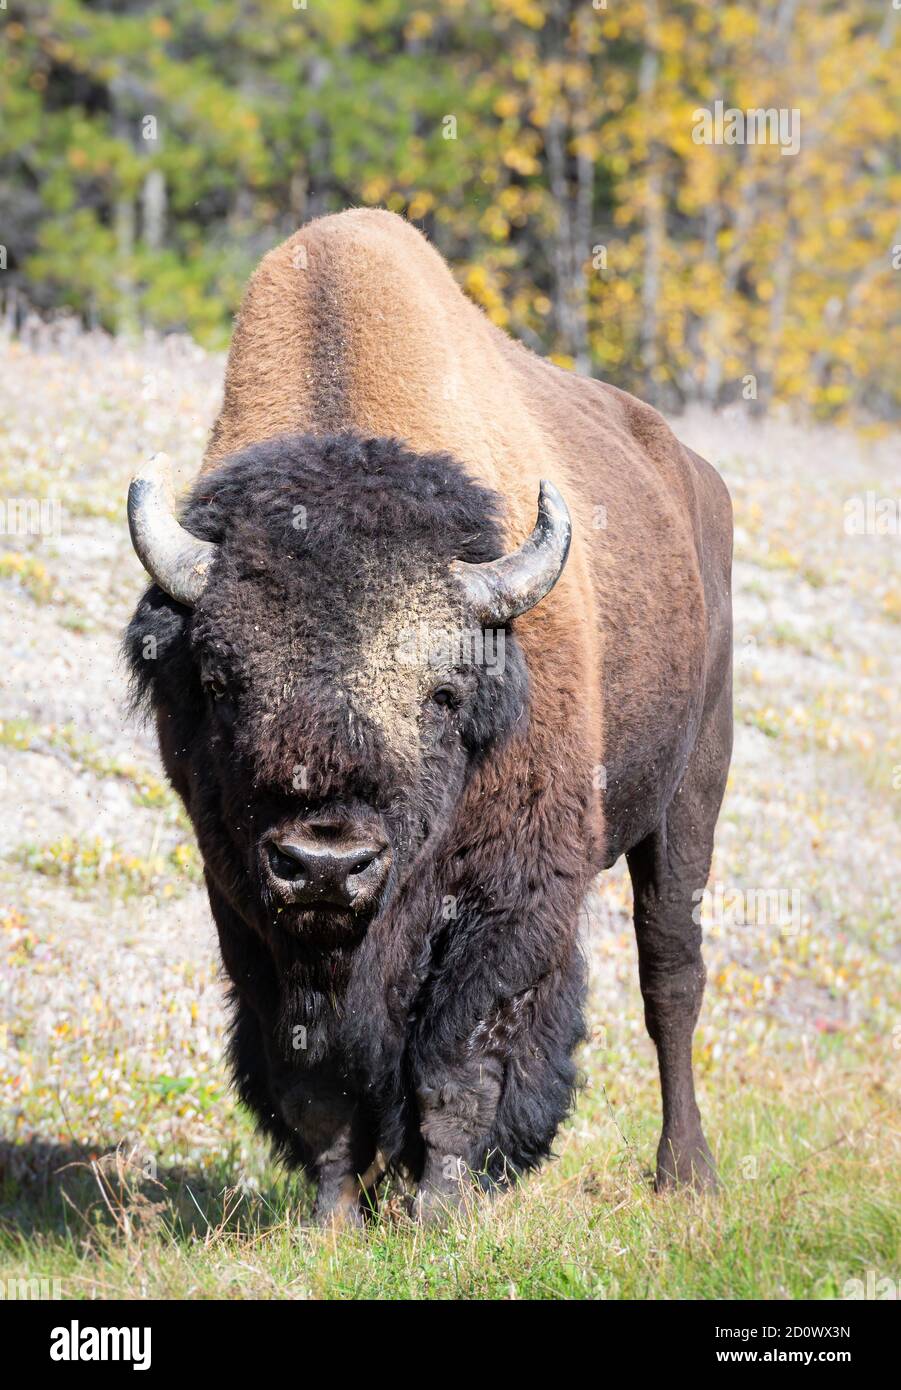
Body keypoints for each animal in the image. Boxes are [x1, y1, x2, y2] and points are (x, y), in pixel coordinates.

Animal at [125, 209, 732, 1224]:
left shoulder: (510, 892)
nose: (325, 863)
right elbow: (316, 1081)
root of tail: (691, 478)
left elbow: (459, 1059)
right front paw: (333, 1220)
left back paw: (685, 1176)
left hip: (691, 791)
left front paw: (439, 1214)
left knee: (670, 976)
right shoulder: (246, 903)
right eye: (218, 680)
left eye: (445, 691)